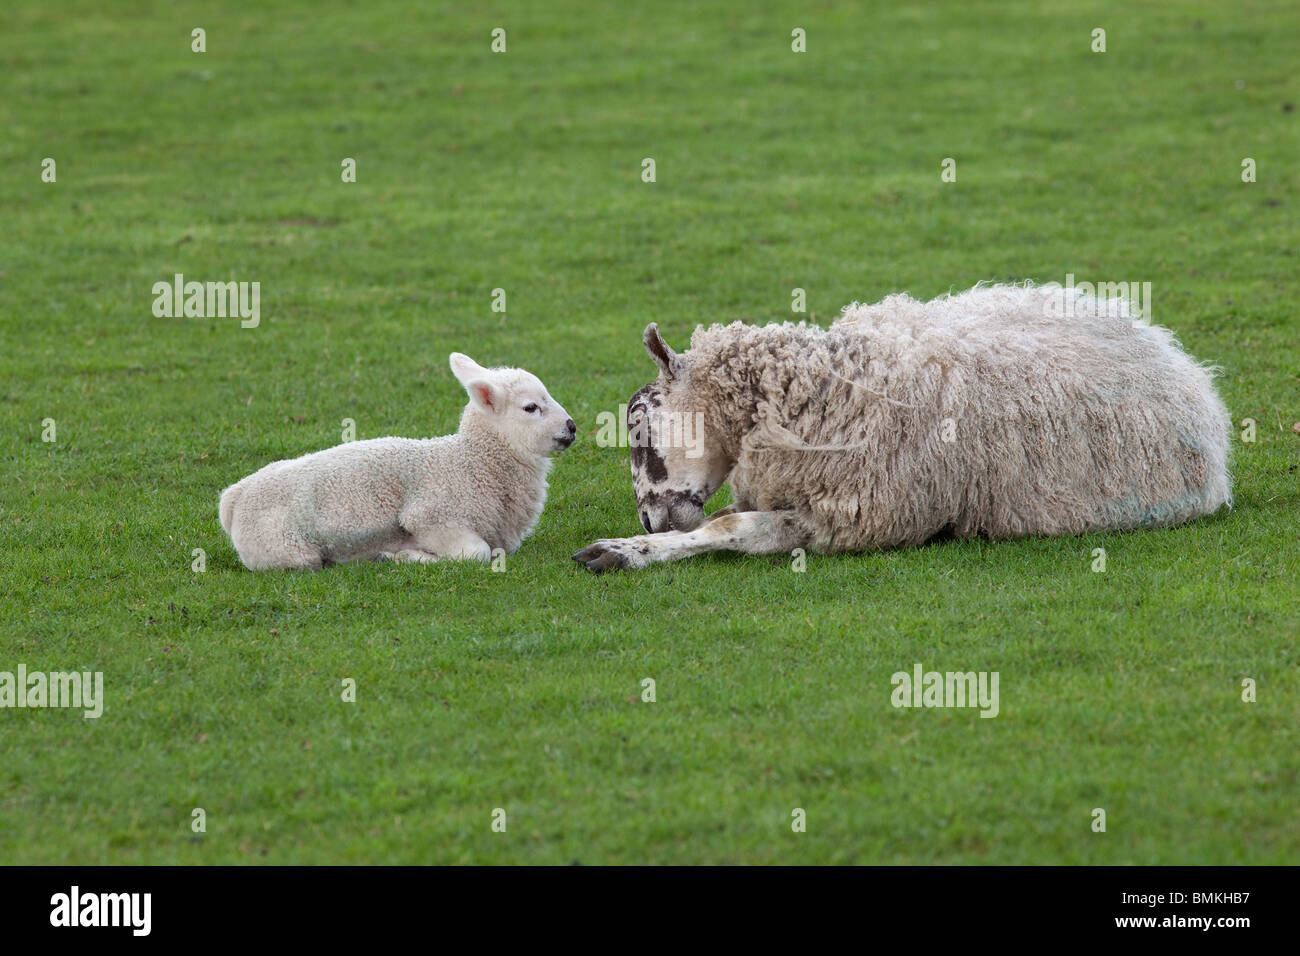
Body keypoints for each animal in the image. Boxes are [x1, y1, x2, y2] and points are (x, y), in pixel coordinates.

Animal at [220, 353, 575, 570]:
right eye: (530, 407)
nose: (571, 427)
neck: (471, 463)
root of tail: (233, 499)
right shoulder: (431, 515)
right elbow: (477, 553)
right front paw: (406, 555)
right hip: (286, 551)